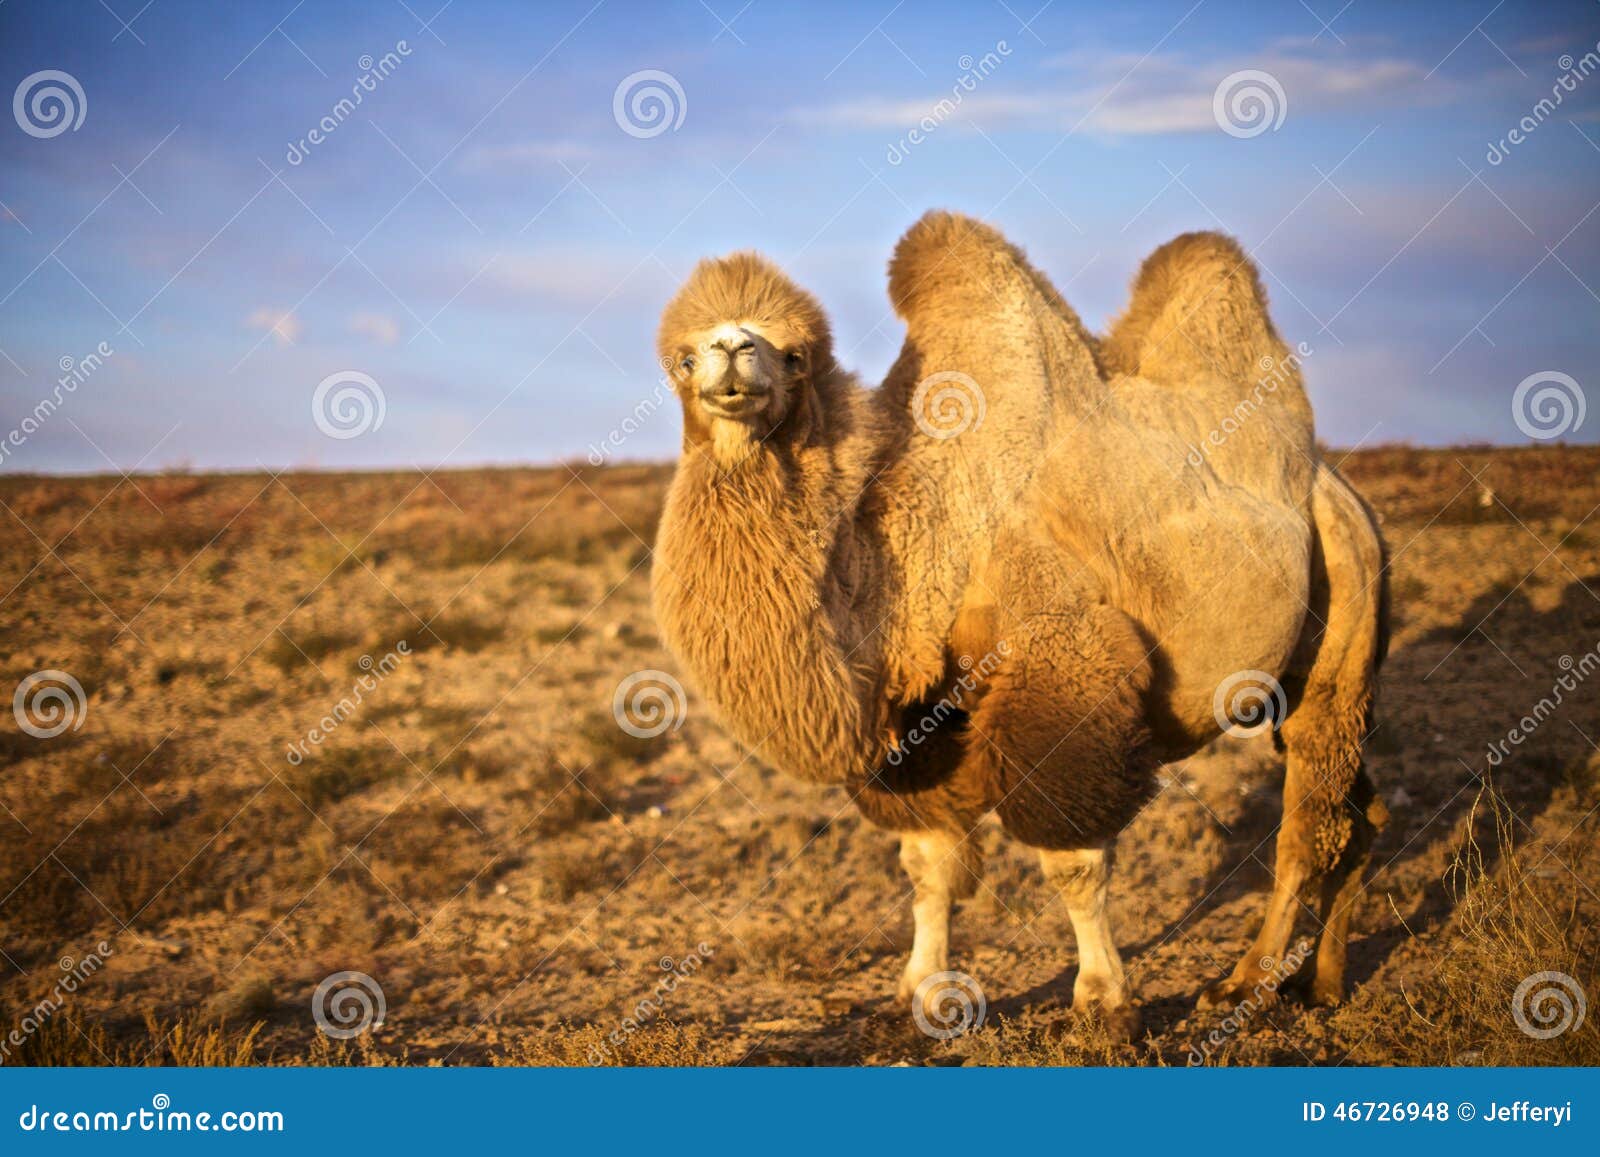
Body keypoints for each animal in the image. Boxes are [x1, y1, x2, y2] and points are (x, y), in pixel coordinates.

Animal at [650, 211, 1389, 1038]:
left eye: (795, 353)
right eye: (683, 356)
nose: (731, 351)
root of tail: (1340, 489)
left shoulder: (1061, 667)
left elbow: (1070, 858)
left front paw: (1102, 1001)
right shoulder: (920, 720)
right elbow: (929, 862)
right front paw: (921, 992)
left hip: (1343, 613)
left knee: (1308, 817)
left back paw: (1243, 984)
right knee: (1360, 812)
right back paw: (1324, 982)